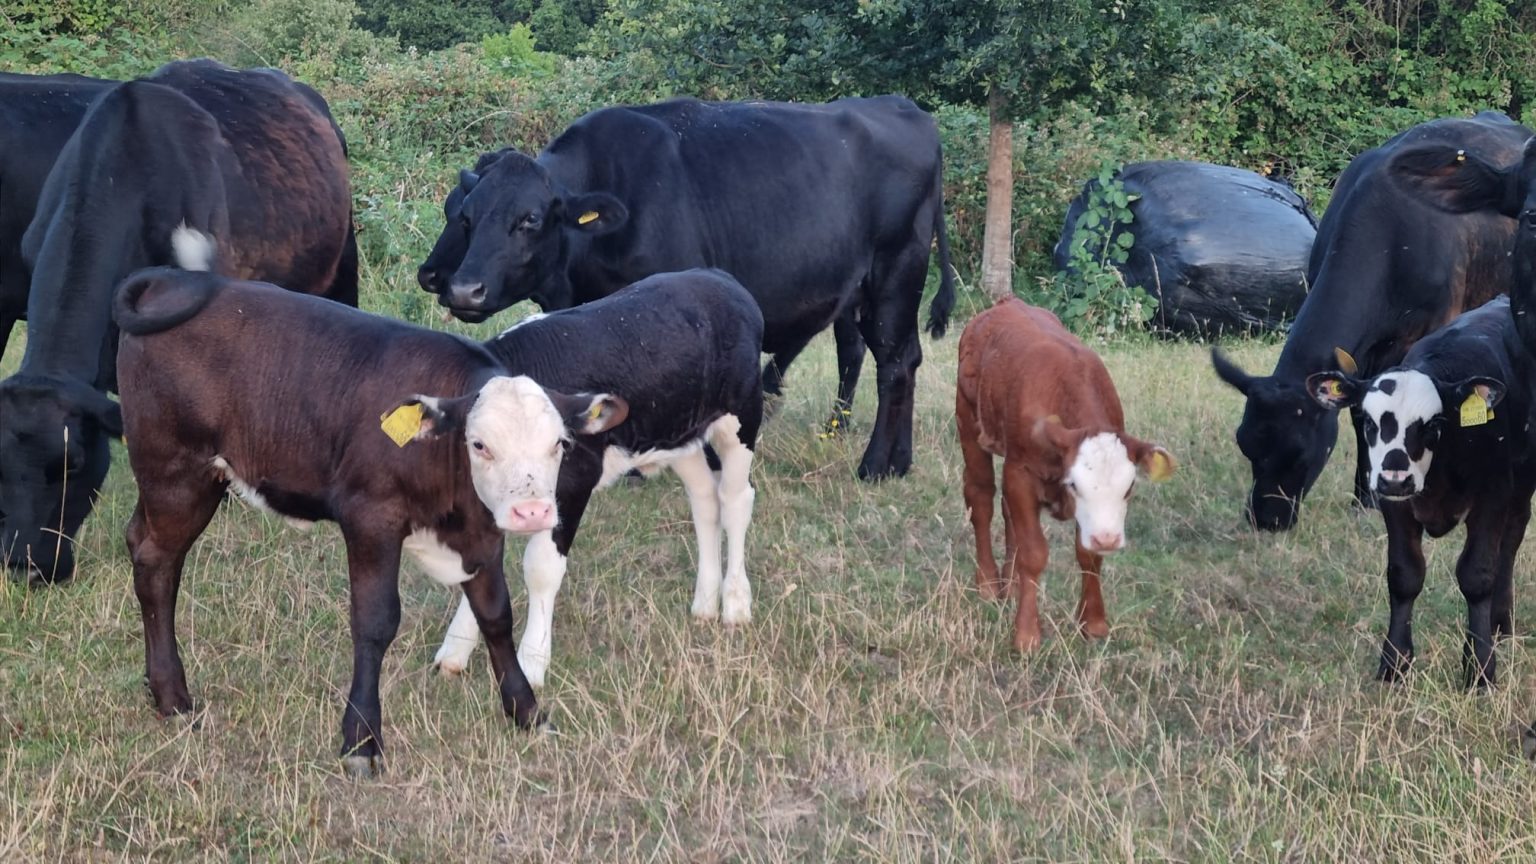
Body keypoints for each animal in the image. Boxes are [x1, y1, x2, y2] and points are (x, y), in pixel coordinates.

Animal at [111, 231, 620, 776]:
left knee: (139, 541)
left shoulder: (481, 532)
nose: (532, 512)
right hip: (175, 472)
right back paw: (173, 697)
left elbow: (496, 615)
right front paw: (361, 738)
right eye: (480, 444)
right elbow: (376, 621)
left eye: (559, 444)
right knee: (157, 564)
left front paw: (527, 713)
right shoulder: (371, 517)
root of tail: (169, 279)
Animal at [414, 96, 956, 481]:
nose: (460, 288)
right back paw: (886, 455)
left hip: (896, 274)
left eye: (528, 219)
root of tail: (902, 107)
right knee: (878, 355)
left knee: (894, 363)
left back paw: (876, 465)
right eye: (466, 216)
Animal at [427, 269, 765, 689]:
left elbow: (541, 569)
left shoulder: (572, 485)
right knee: (705, 499)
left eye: (558, 444)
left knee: (735, 500)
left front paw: (532, 663)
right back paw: (705, 602)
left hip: (742, 417)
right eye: (479, 444)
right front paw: (455, 650)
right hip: (678, 433)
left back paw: (735, 604)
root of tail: (718, 278)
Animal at [956, 298, 1176, 652]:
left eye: (1129, 488)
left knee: (1005, 510)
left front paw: (1094, 623)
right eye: (1073, 485)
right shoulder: (1021, 473)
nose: (1108, 539)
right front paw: (1027, 634)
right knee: (981, 498)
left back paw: (1011, 583)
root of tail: (1005, 303)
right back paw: (988, 583)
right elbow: (1034, 553)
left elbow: (1088, 555)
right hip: (968, 421)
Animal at [1305, 296, 1533, 688]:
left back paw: (1500, 622)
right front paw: (1394, 663)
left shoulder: (1492, 499)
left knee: (1509, 546)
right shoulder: (1395, 506)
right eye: (1367, 421)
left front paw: (1479, 668)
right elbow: (1404, 575)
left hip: (1522, 485)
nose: (1396, 479)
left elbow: (1477, 576)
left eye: (1433, 423)